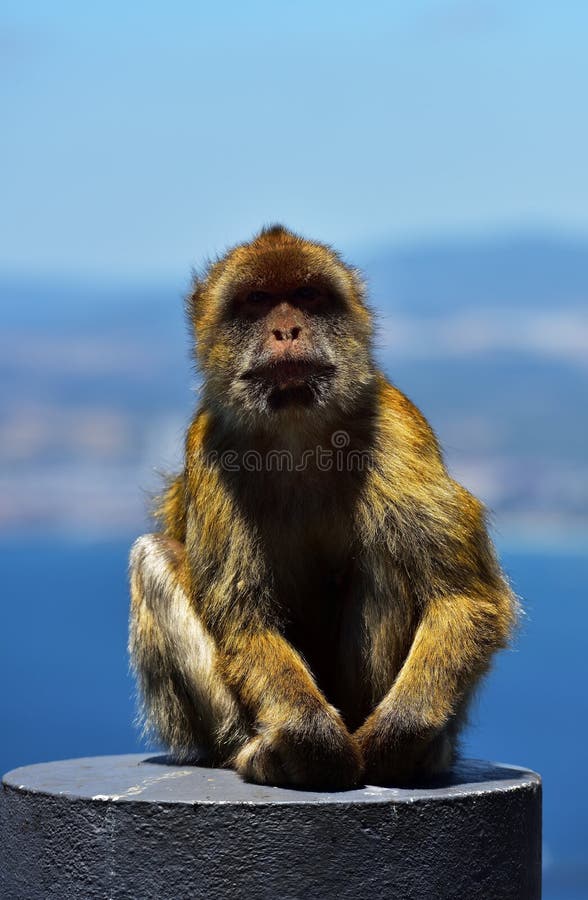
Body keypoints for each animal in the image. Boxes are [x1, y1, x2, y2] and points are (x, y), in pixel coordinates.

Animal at [129, 224, 517, 790]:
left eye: (308, 296)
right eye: (257, 301)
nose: (287, 330)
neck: (297, 431)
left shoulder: (396, 428)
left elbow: (467, 598)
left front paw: (398, 734)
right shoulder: (210, 447)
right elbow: (244, 621)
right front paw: (312, 740)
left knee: (389, 556)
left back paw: (418, 754)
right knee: (153, 556)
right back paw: (256, 750)